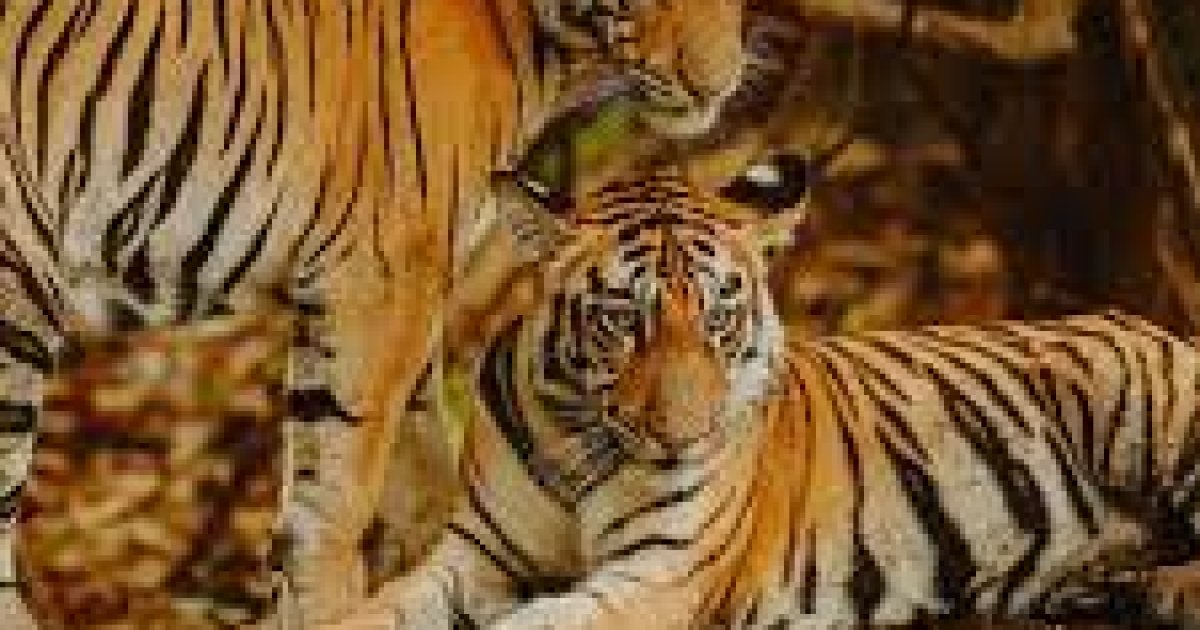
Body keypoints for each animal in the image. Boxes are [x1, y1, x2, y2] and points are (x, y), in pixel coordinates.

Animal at [0, 0, 748, 623]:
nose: (719, 85)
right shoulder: (379, 283)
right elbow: (333, 501)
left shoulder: (399, 302)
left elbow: (423, 479)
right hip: (19, 289)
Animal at [324, 160, 1200, 629]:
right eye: (622, 319)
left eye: (720, 315)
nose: (684, 437)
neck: (578, 441)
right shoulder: (475, 557)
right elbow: (378, 611)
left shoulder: (657, 574)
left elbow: (535, 623)